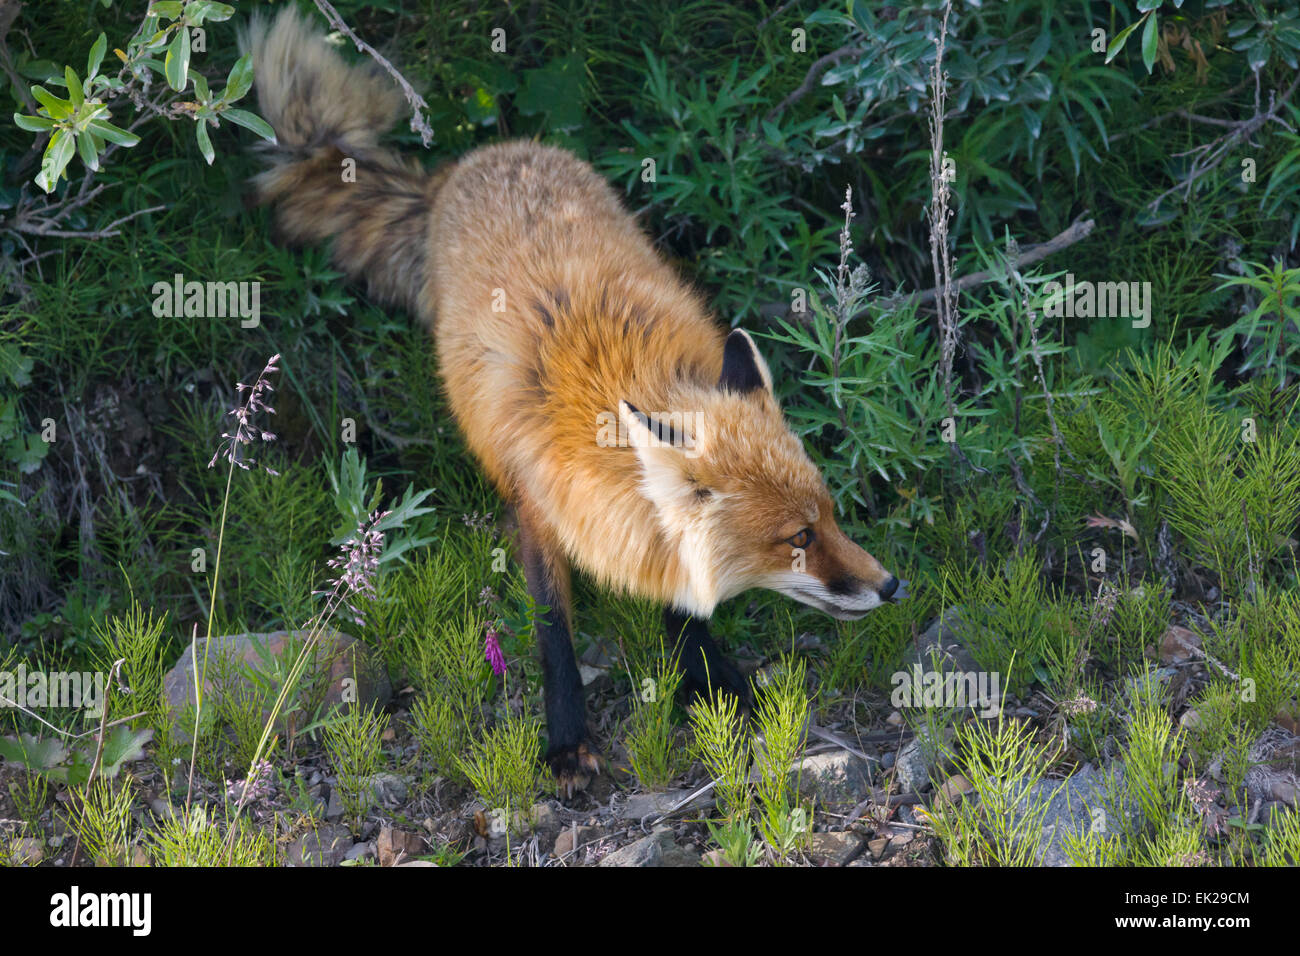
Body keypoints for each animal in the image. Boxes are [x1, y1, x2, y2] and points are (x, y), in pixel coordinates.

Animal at [244, 8, 906, 795]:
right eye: (799, 538)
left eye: (830, 516)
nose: (892, 585)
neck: (611, 394)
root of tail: (473, 162)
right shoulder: (534, 504)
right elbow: (551, 630)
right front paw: (566, 742)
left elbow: (682, 603)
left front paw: (711, 686)